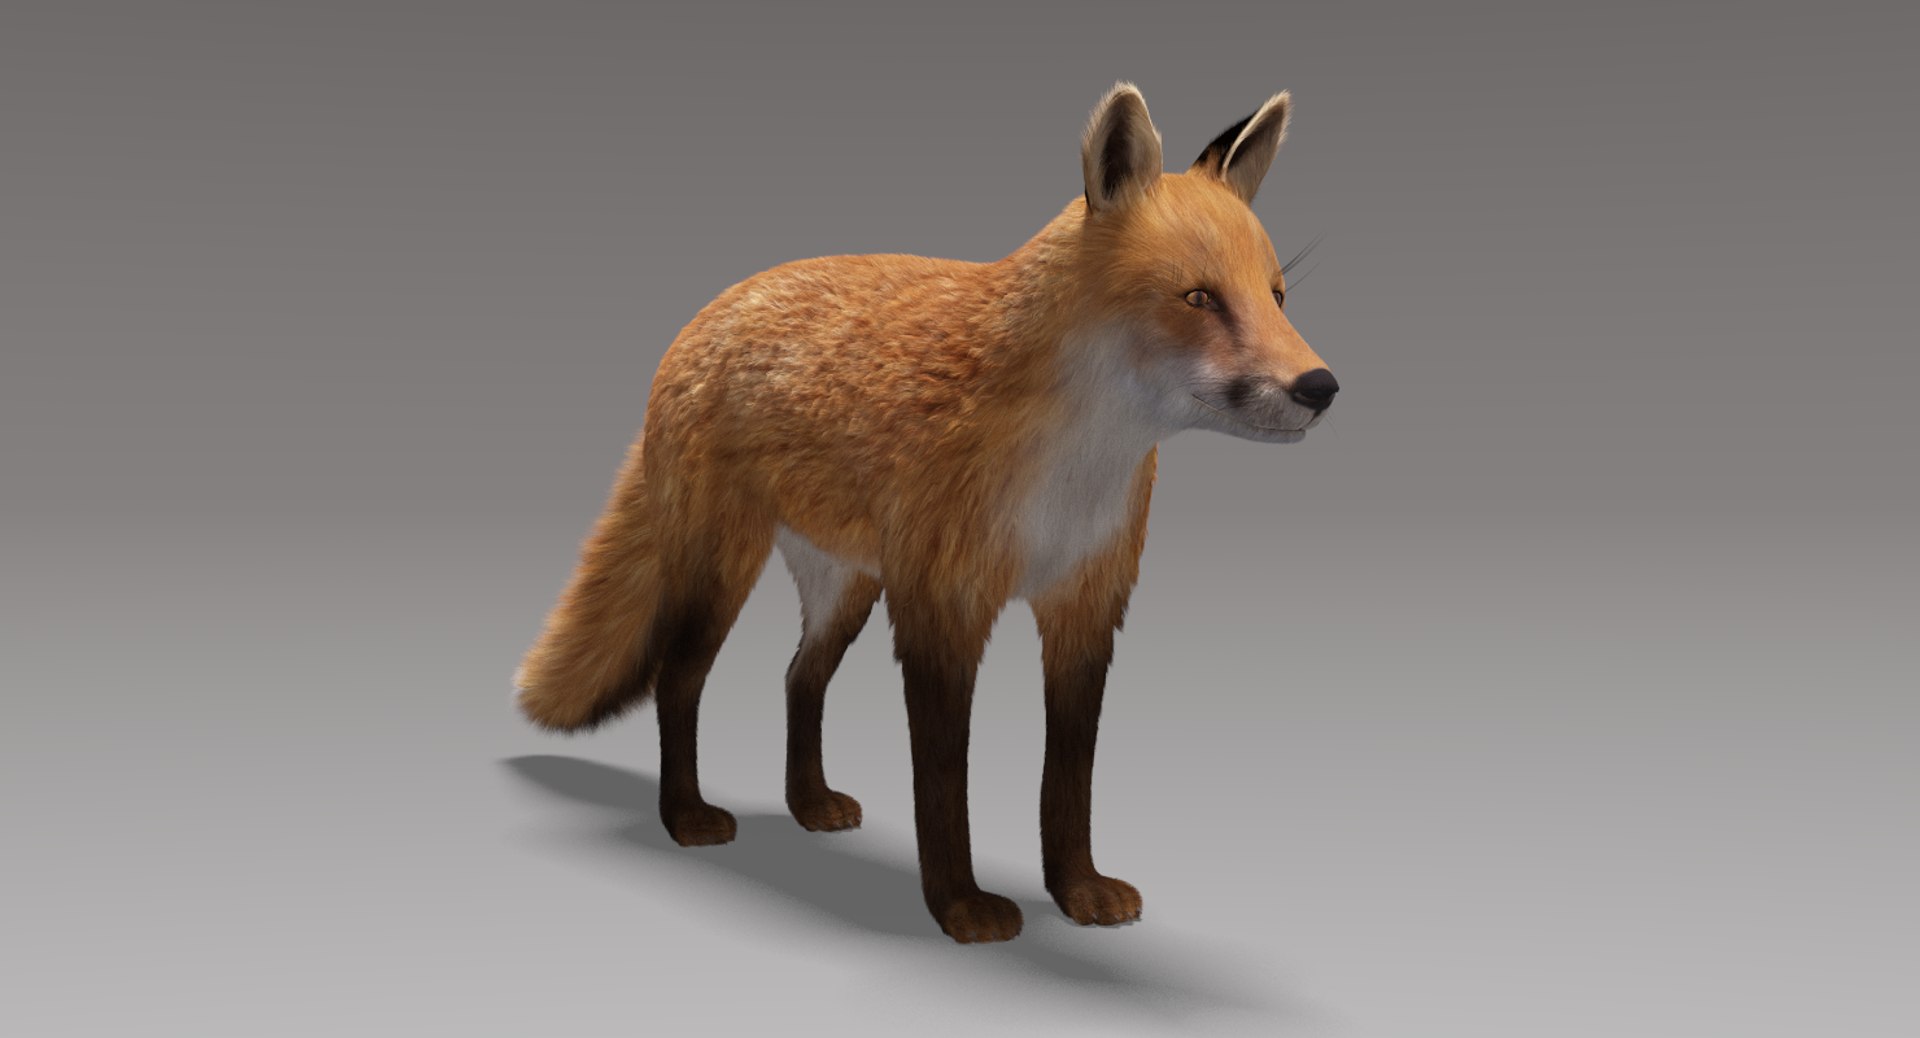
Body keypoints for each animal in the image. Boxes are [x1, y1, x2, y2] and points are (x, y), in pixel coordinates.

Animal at [515, 82, 1338, 944]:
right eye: (1199, 298)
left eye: (1277, 296)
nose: (1320, 387)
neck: (1068, 475)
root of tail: (707, 312)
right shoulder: (943, 606)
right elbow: (943, 779)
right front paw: (960, 907)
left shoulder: (1085, 605)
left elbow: (1069, 777)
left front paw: (1076, 889)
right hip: (723, 574)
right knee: (679, 682)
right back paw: (684, 816)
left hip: (847, 588)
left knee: (798, 678)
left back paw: (807, 803)